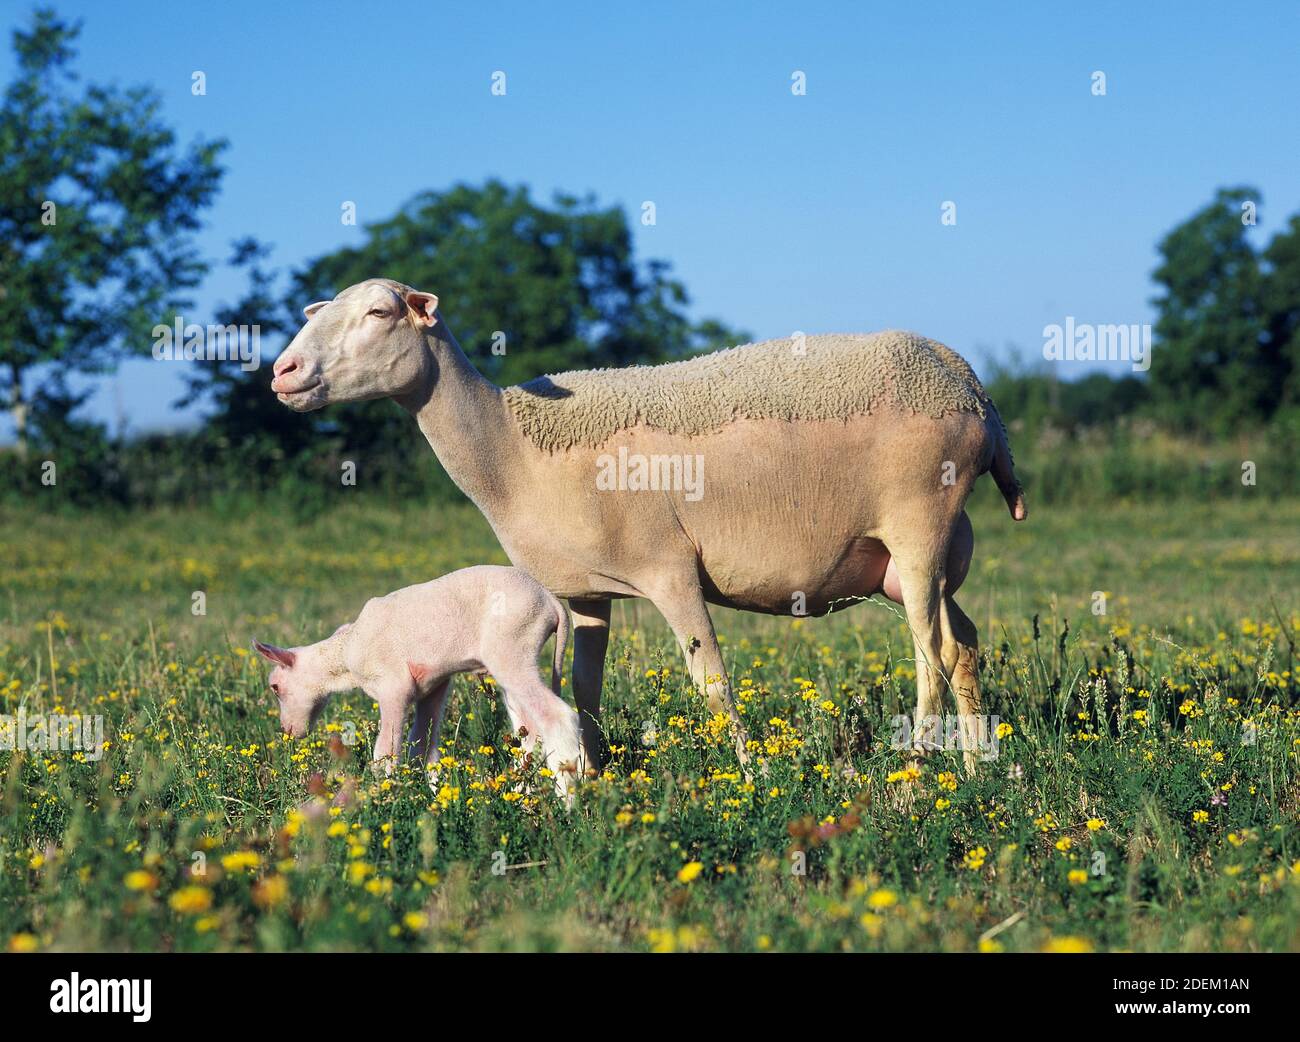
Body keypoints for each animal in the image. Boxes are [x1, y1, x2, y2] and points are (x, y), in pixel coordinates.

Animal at [252, 565, 582, 797]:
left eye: (275, 687)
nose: (287, 731)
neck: (344, 653)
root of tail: (551, 601)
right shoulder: (433, 685)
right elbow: (422, 748)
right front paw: (435, 797)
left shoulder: (393, 686)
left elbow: (385, 753)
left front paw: (383, 799)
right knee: (530, 734)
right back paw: (520, 796)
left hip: (511, 645)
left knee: (556, 716)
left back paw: (567, 804)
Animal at [270, 279, 1027, 771]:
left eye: (378, 311)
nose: (282, 370)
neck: (510, 449)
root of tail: (975, 391)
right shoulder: (584, 591)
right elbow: (584, 688)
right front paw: (597, 773)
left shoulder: (670, 570)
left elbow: (712, 682)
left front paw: (751, 775)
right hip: (912, 562)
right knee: (961, 646)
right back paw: (977, 766)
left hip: (919, 521)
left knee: (932, 651)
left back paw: (917, 773)